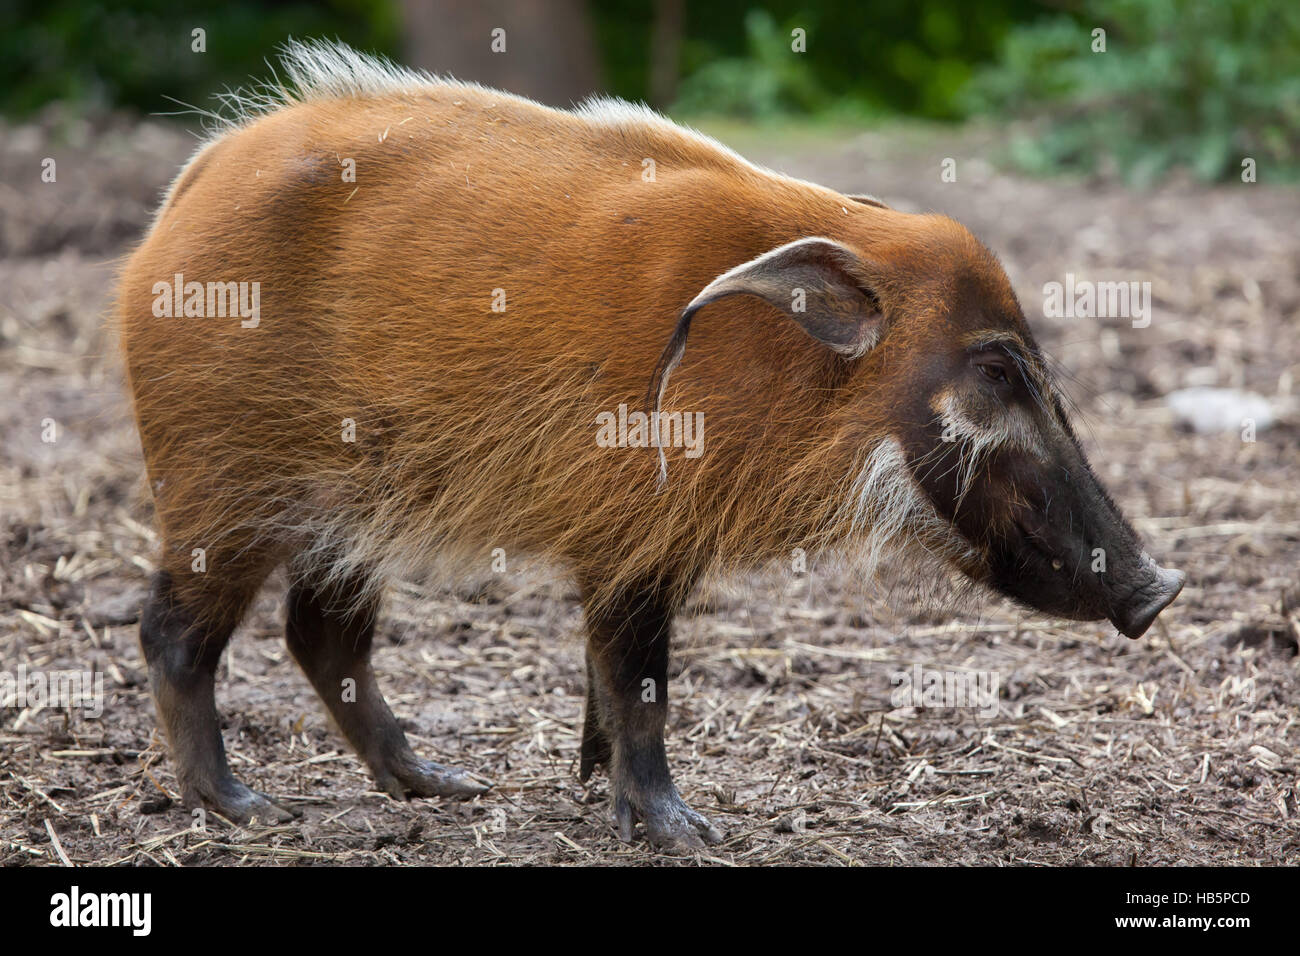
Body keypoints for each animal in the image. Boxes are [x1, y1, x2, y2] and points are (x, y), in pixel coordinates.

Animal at [115, 40, 1184, 848]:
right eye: (997, 370)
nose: (1160, 588)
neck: (796, 368)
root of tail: (181, 194)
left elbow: (615, 675)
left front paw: (594, 789)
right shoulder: (631, 530)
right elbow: (640, 677)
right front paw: (684, 834)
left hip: (347, 506)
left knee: (321, 634)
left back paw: (442, 785)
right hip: (219, 480)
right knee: (174, 632)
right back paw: (244, 807)